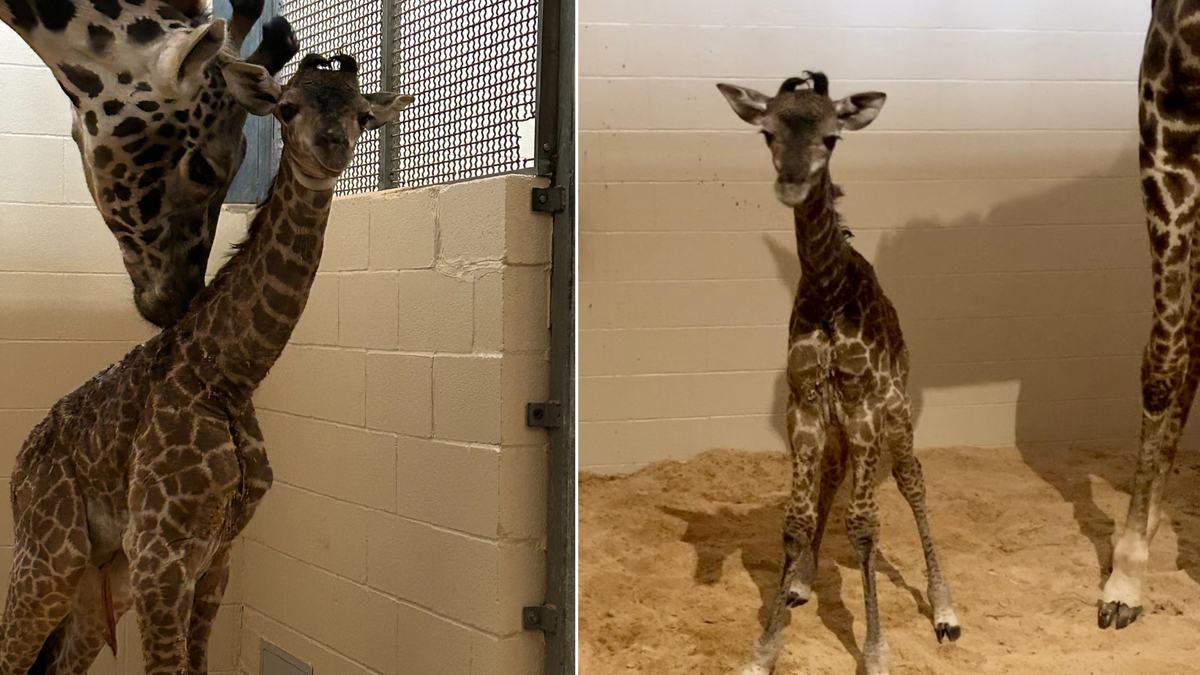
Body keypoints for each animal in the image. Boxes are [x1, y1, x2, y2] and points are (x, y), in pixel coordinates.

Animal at [0, 53, 413, 674]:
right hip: (49, 557)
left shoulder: (215, 556)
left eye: (363, 114)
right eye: (286, 107)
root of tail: (18, 474)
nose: (333, 144)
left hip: (102, 581)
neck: (229, 378)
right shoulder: (160, 553)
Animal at [717, 73, 960, 675]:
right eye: (767, 133)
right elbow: (796, 520)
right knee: (833, 477)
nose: (792, 183)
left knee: (913, 481)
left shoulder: (864, 404)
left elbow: (865, 525)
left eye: (832, 137)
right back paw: (800, 583)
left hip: (896, 412)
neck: (829, 291)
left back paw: (945, 610)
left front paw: (874, 652)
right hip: (839, 425)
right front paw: (764, 647)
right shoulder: (805, 403)